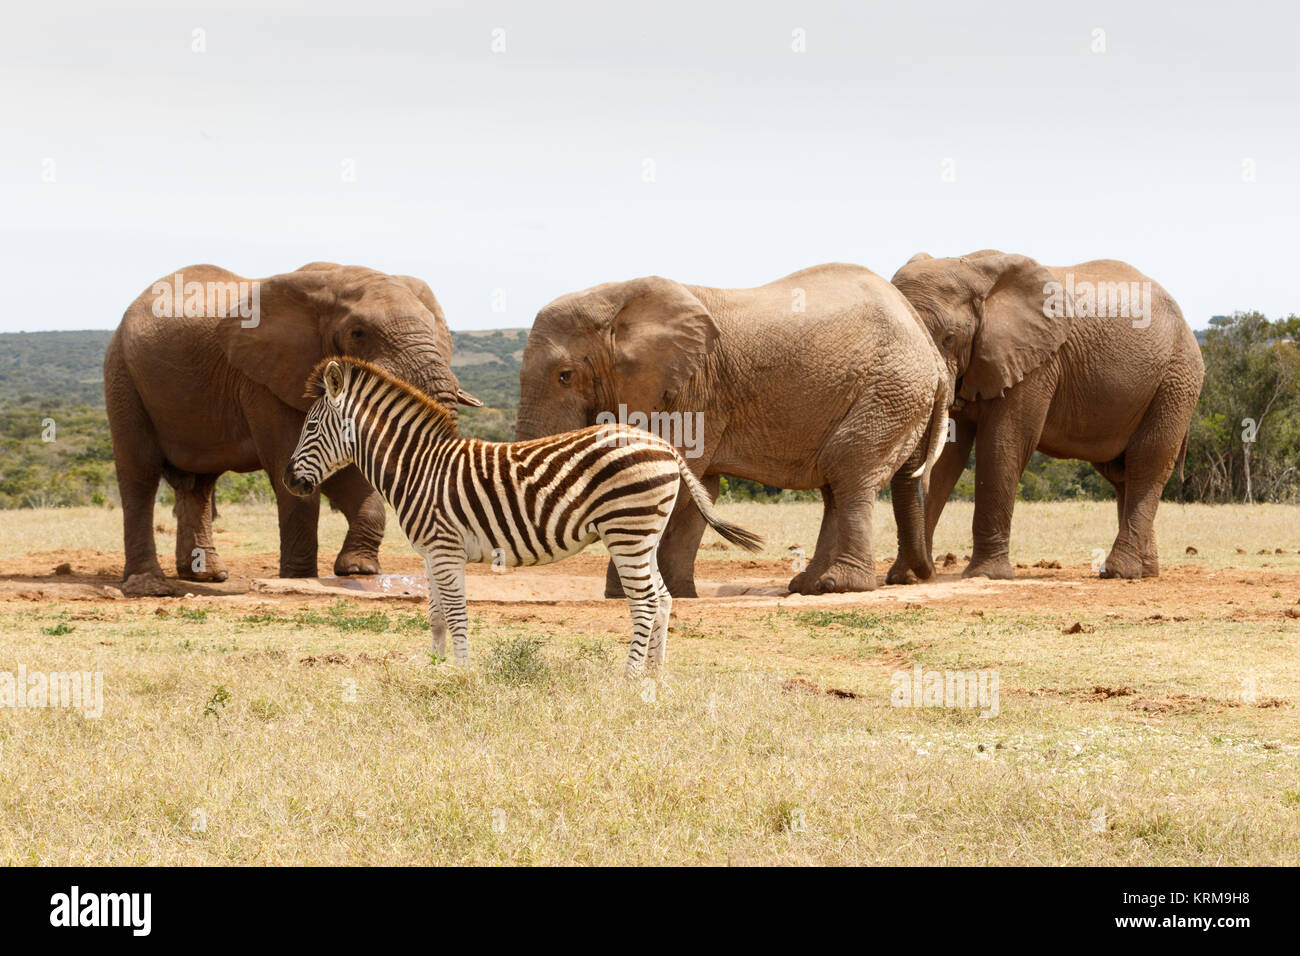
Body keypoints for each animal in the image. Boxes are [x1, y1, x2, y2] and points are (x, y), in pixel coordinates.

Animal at [104, 262, 480, 596]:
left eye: (435, 329)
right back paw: (150, 587)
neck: (333, 280)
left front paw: (358, 570)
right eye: (358, 334)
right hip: (121, 373)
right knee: (140, 475)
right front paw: (299, 578)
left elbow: (345, 475)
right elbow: (296, 473)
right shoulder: (264, 382)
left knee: (199, 485)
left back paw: (207, 576)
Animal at [284, 357, 763, 677]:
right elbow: (435, 616)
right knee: (662, 599)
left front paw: (463, 676)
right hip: (643, 536)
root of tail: (664, 446)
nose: (289, 481)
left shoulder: (445, 550)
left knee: (645, 603)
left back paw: (628, 682)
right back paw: (654, 678)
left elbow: (456, 614)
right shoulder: (431, 554)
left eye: (310, 428)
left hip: (627, 532)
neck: (418, 467)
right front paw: (436, 671)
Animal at [515, 265, 950, 598]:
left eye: (564, 375)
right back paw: (807, 586)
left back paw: (838, 586)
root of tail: (927, 342)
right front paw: (678, 593)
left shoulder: (695, 387)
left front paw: (623, 594)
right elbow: (699, 486)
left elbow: (679, 479)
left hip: (890, 388)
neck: (618, 299)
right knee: (835, 483)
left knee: (850, 469)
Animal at [889, 250, 1204, 580]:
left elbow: (1003, 445)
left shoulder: (1036, 363)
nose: (929, 571)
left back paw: (1118, 572)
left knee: (1147, 462)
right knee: (1121, 473)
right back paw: (1144, 572)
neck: (972, 268)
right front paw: (905, 578)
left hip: (1177, 379)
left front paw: (986, 575)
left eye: (949, 338)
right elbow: (948, 455)